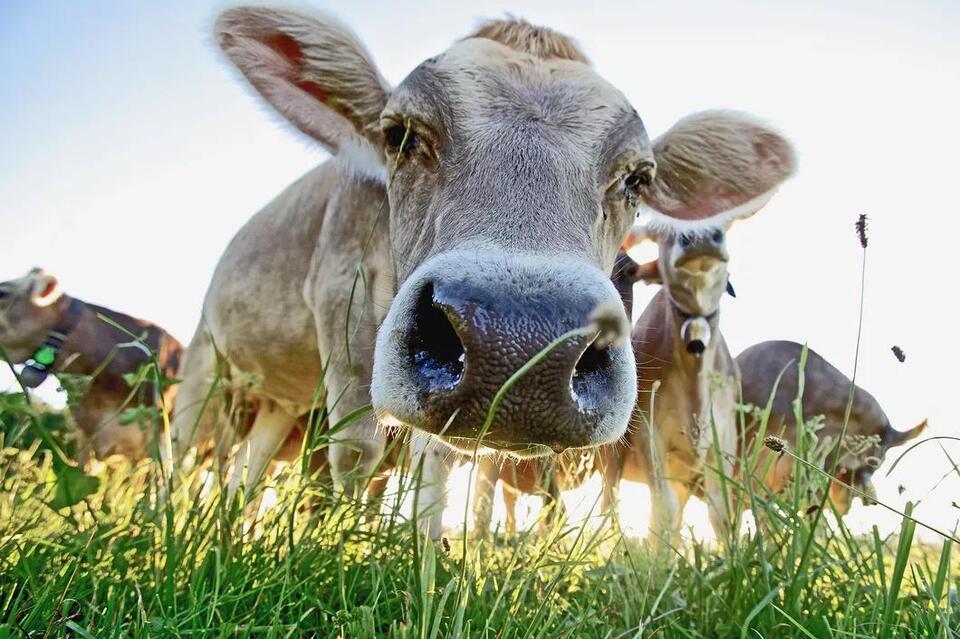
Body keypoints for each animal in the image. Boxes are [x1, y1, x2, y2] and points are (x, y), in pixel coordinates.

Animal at [170, 5, 797, 538]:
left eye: (636, 180)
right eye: (400, 135)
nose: (522, 344)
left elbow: (435, 475)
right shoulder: (340, 296)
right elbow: (357, 450)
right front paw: (334, 552)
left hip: (278, 399)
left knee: (246, 467)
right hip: (206, 355)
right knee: (186, 448)